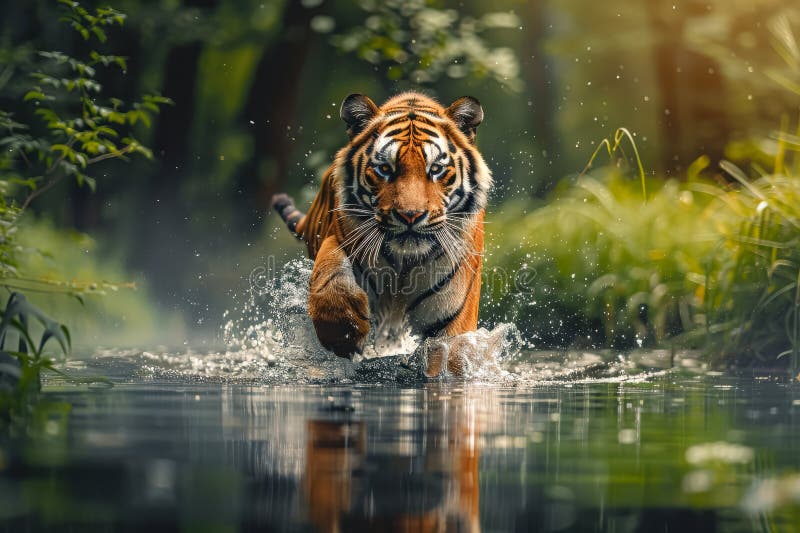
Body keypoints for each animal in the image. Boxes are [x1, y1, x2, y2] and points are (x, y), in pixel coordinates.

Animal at [272, 91, 492, 369]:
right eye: (385, 169)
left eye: (436, 169)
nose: (411, 215)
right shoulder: (339, 237)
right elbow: (331, 278)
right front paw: (346, 335)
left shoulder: (453, 316)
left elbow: (448, 358)